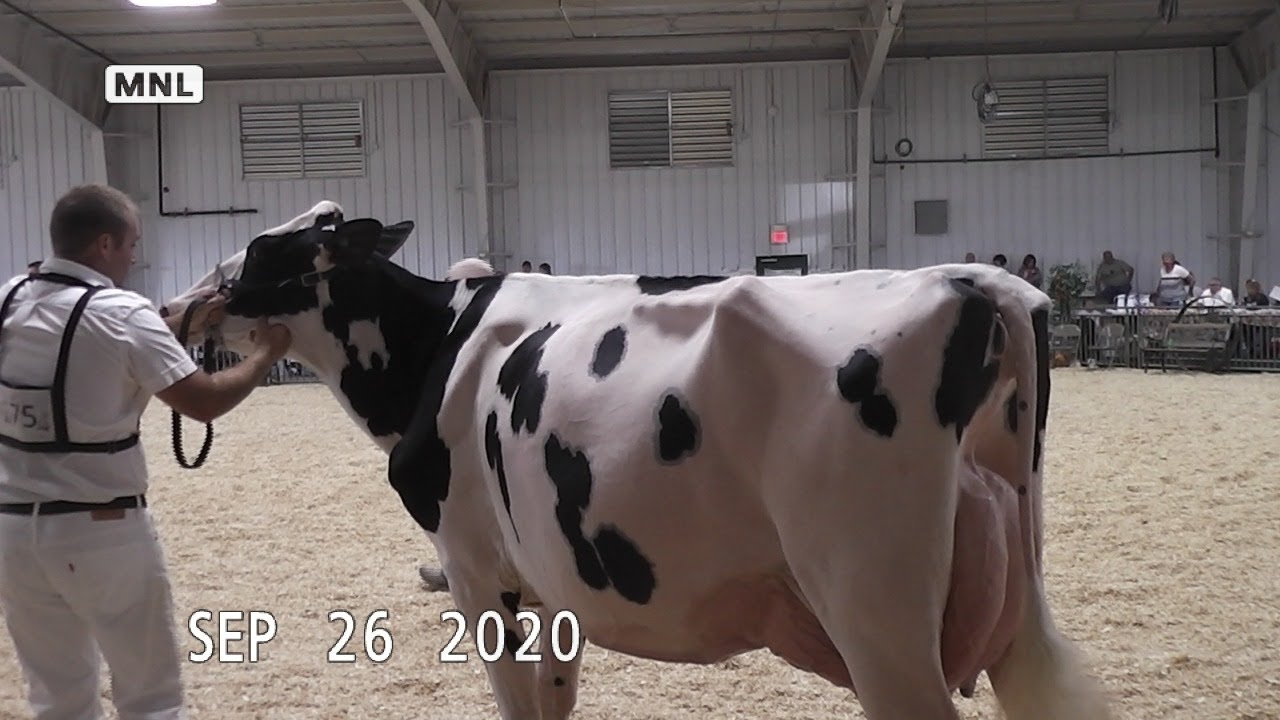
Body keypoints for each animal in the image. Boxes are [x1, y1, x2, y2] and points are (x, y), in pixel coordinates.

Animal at [166, 201, 1113, 720]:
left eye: (260, 253)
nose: (178, 306)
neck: (440, 343)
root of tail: (979, 284)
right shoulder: (552, 584)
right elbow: (556, 695)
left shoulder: (477, 568)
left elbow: (518, 700)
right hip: (1009, 596)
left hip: (876, 611)